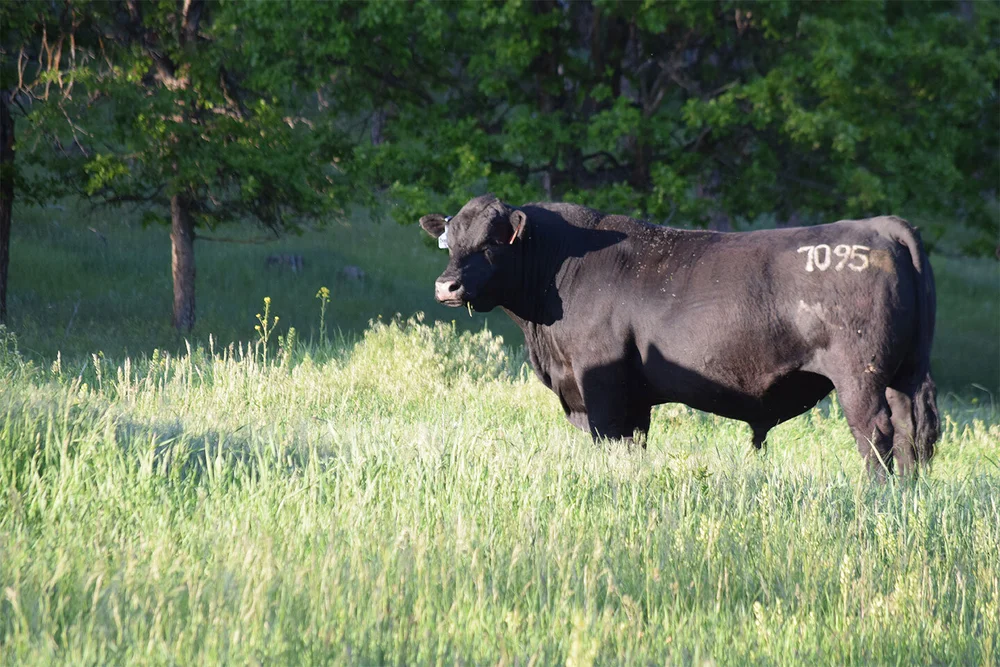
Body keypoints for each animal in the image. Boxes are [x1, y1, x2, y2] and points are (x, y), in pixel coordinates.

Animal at [419, 195, 940, 479]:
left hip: (860, 376)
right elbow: (634, 445)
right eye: (449, 242)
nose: (446, 286)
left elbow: (610, 440)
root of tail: (881, 226)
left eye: (491, 242)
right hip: (907, 372)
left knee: (876, 433)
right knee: (916, 432)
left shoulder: (600, 386)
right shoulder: (634, 398)